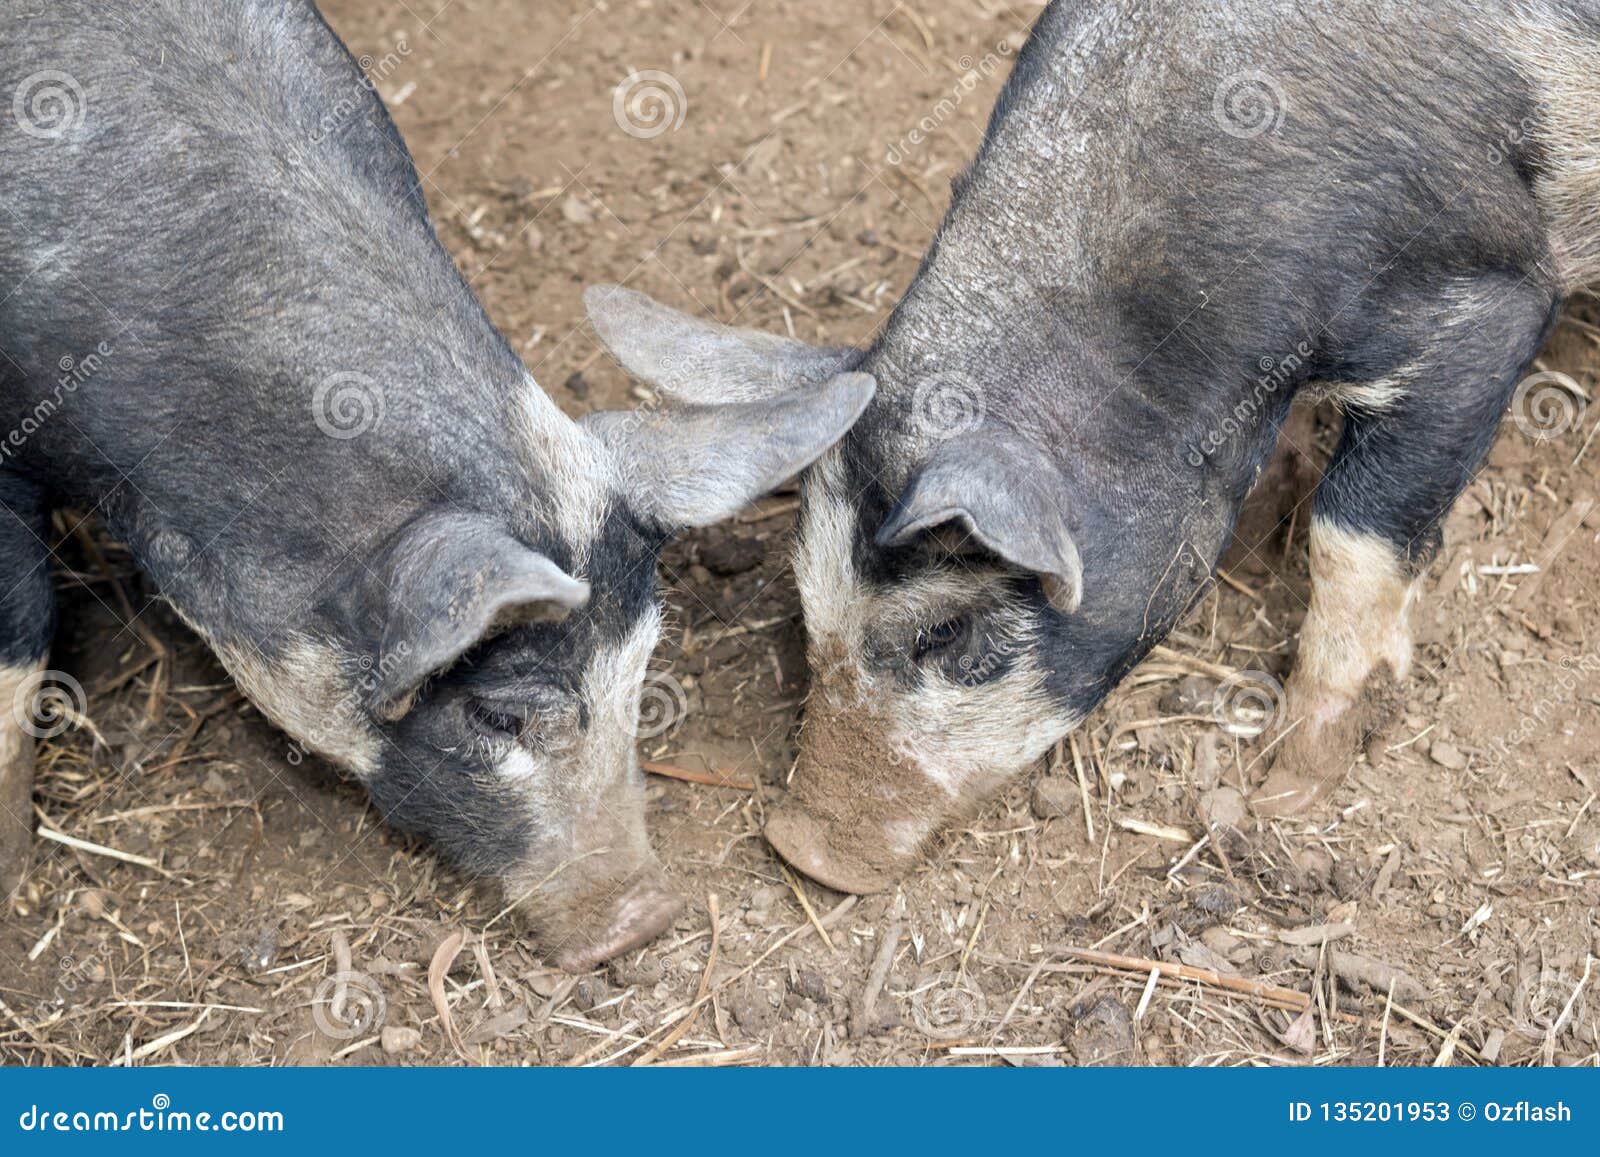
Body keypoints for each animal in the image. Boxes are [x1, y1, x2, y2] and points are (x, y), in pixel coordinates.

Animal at [587, 0, 1600, 892]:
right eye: (804, 603)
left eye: (945, 631)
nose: (801, 848)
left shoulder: (1485, 302)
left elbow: (1357, 536)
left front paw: (1290, 787)